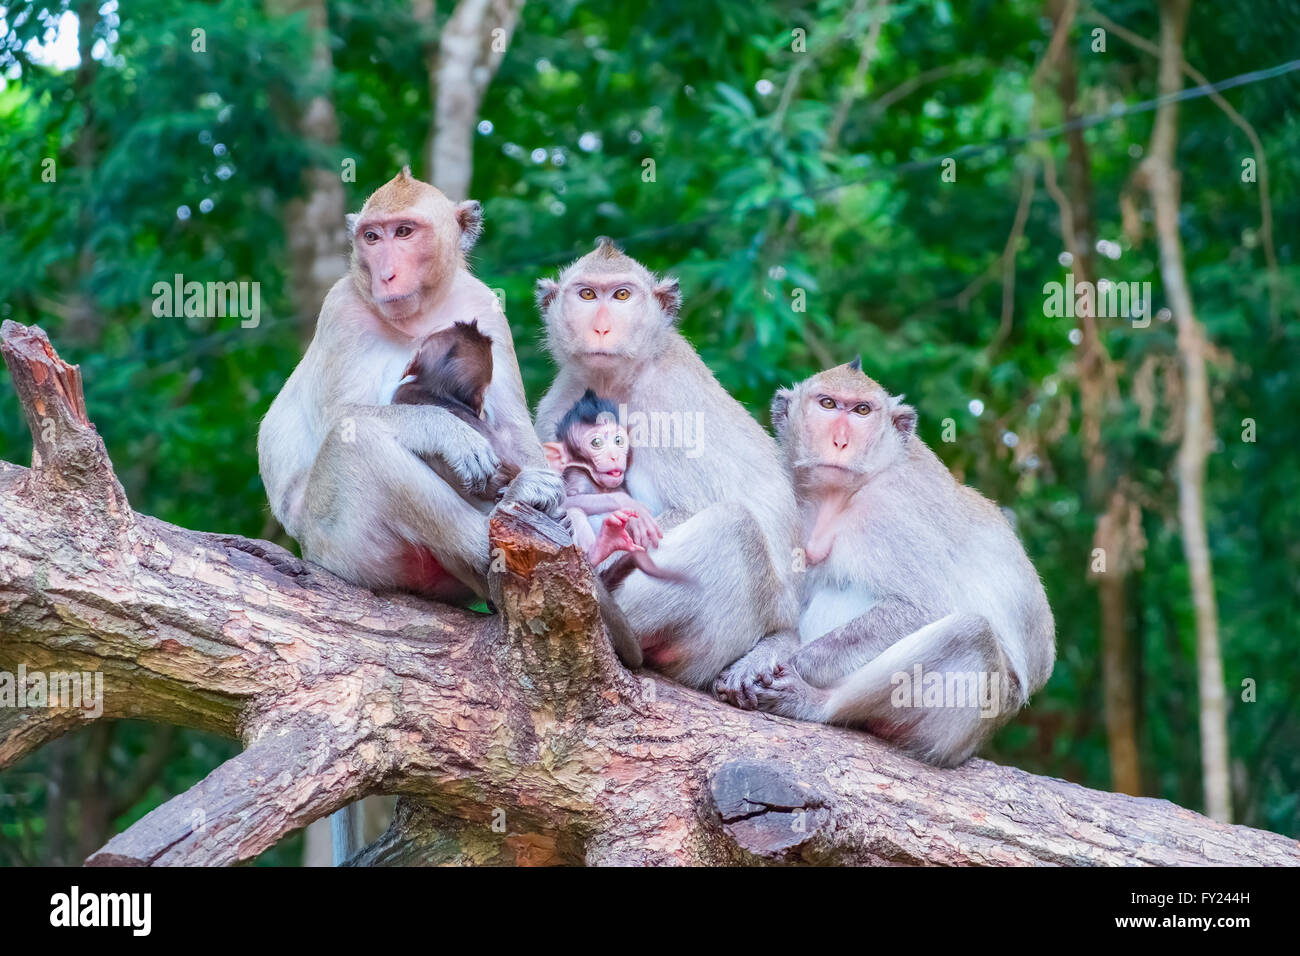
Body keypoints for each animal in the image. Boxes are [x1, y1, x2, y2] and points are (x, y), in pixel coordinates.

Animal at [258, 167, 565, 610]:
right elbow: (342, 418)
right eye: (372, 237)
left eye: (403, 232)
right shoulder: (341, 309)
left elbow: (511, 426)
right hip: (340, 546)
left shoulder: (485, 305)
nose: (386, 275)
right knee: (359, 443)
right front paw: (448, 432)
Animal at [542, 388, 687, 582]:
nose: (614, 456)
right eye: (596, 443)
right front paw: (629, 506)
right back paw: (601, 548)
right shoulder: (577, 476)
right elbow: (565, 500)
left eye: (618, 441)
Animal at [741, 358, 1056, 767]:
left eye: (862, 410)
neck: (841, 496)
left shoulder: (889, 512)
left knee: (971, 634)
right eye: (828, 404)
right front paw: (766, 652)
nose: (840, 441)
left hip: (969, 717)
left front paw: (789, 663)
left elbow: (924, 608)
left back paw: (817, 704)